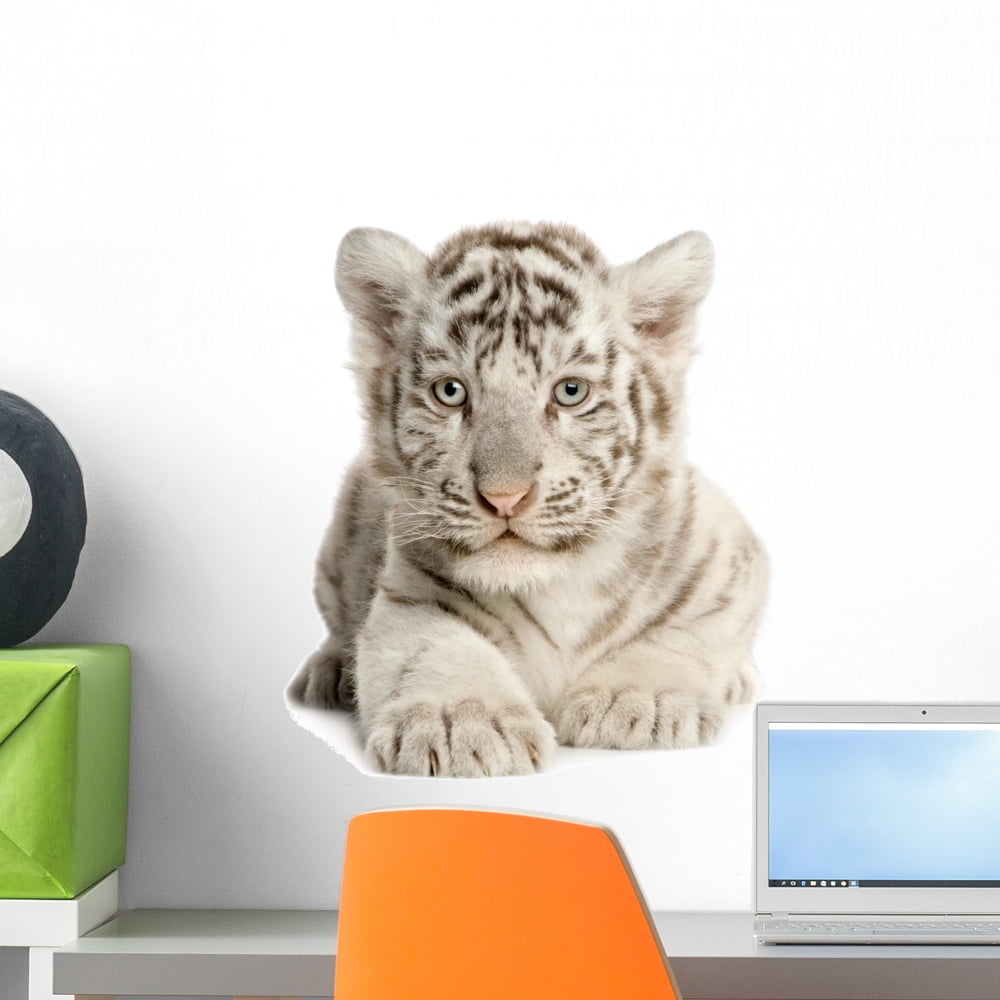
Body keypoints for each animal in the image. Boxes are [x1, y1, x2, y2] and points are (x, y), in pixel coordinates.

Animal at [291, 221, 768, 777]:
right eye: (450, 392)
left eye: (570, 392)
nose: (504, 497)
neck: (557, 582)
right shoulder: (411, 593)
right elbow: (434, 648)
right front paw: (461, 723)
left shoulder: (730, 556)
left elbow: (690, 631)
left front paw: (636, 702)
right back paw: (327, 674)